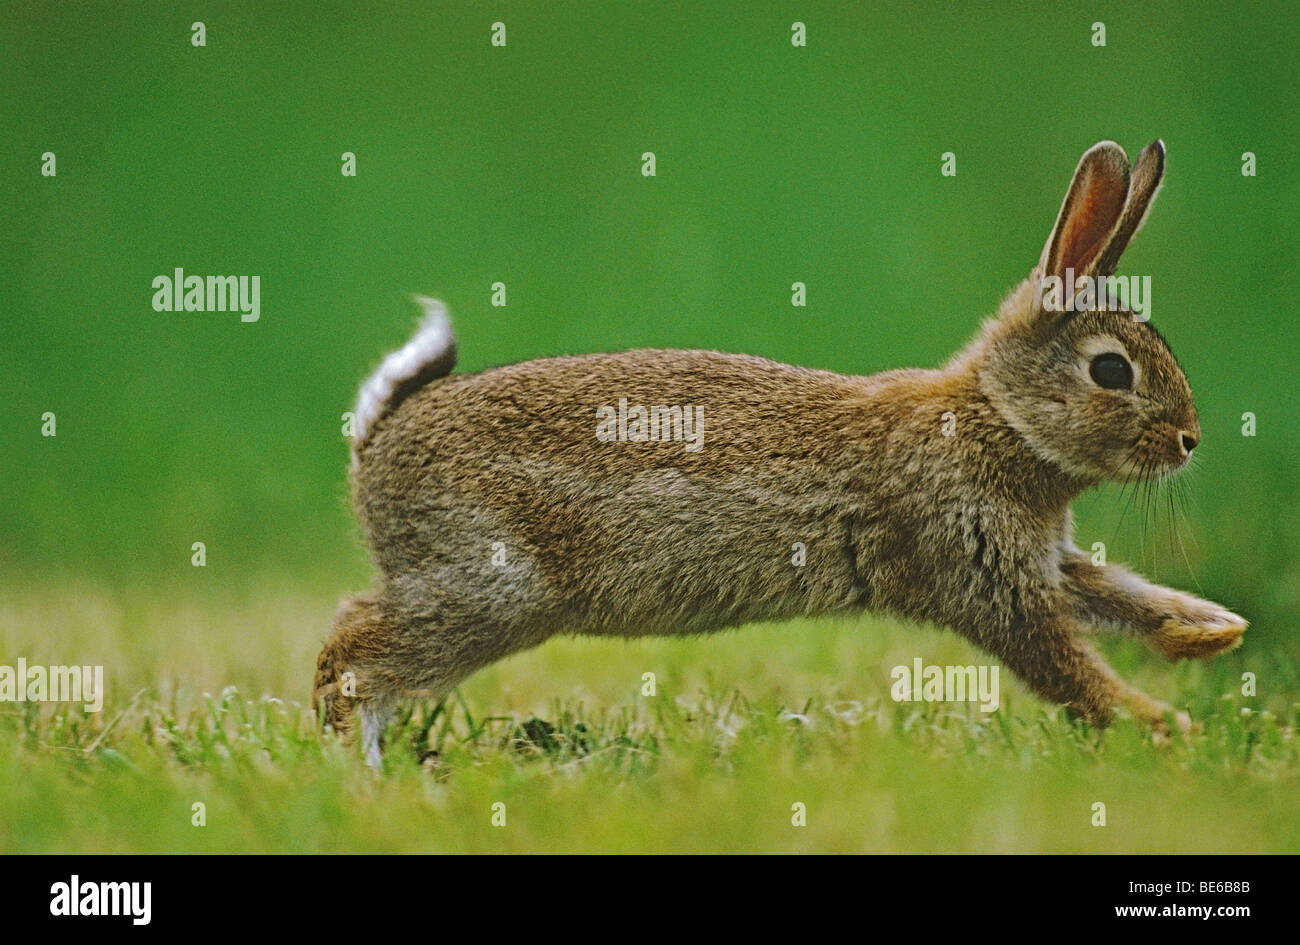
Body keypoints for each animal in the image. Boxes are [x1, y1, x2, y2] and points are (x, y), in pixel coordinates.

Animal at [314, 139, 1247, 767]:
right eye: (1111, 369)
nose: (1191, 439)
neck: (994, 416)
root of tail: (377, 445)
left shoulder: (1041, 557)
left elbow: (1117, 594)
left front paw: (1211, 632)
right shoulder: (982, 569)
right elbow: (1062, 664)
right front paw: (1164, 725)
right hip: (492, 588)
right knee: (350, 649)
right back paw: (360, 773)